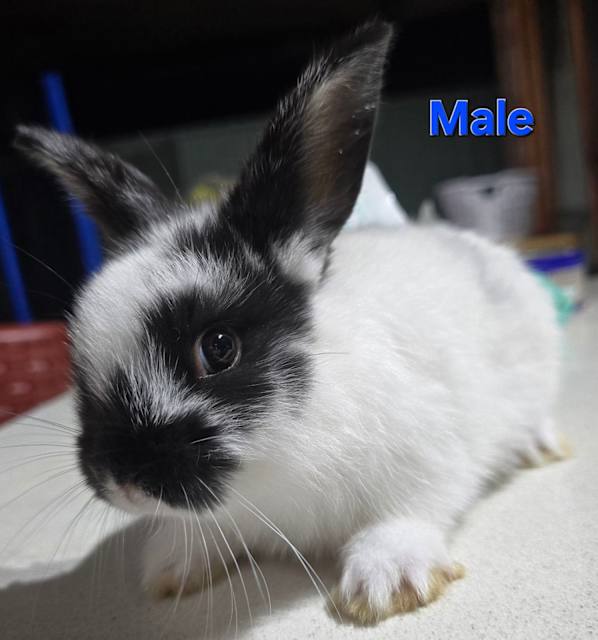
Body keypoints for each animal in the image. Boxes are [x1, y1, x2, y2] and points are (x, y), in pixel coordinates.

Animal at [15, 20, 568, 625]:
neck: (274, 463)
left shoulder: (429, 456)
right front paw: (171, 568)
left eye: (219, 347)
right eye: (77, 359)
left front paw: (385, 587)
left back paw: (541, 445)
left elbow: (409, 512)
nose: (122, 480)